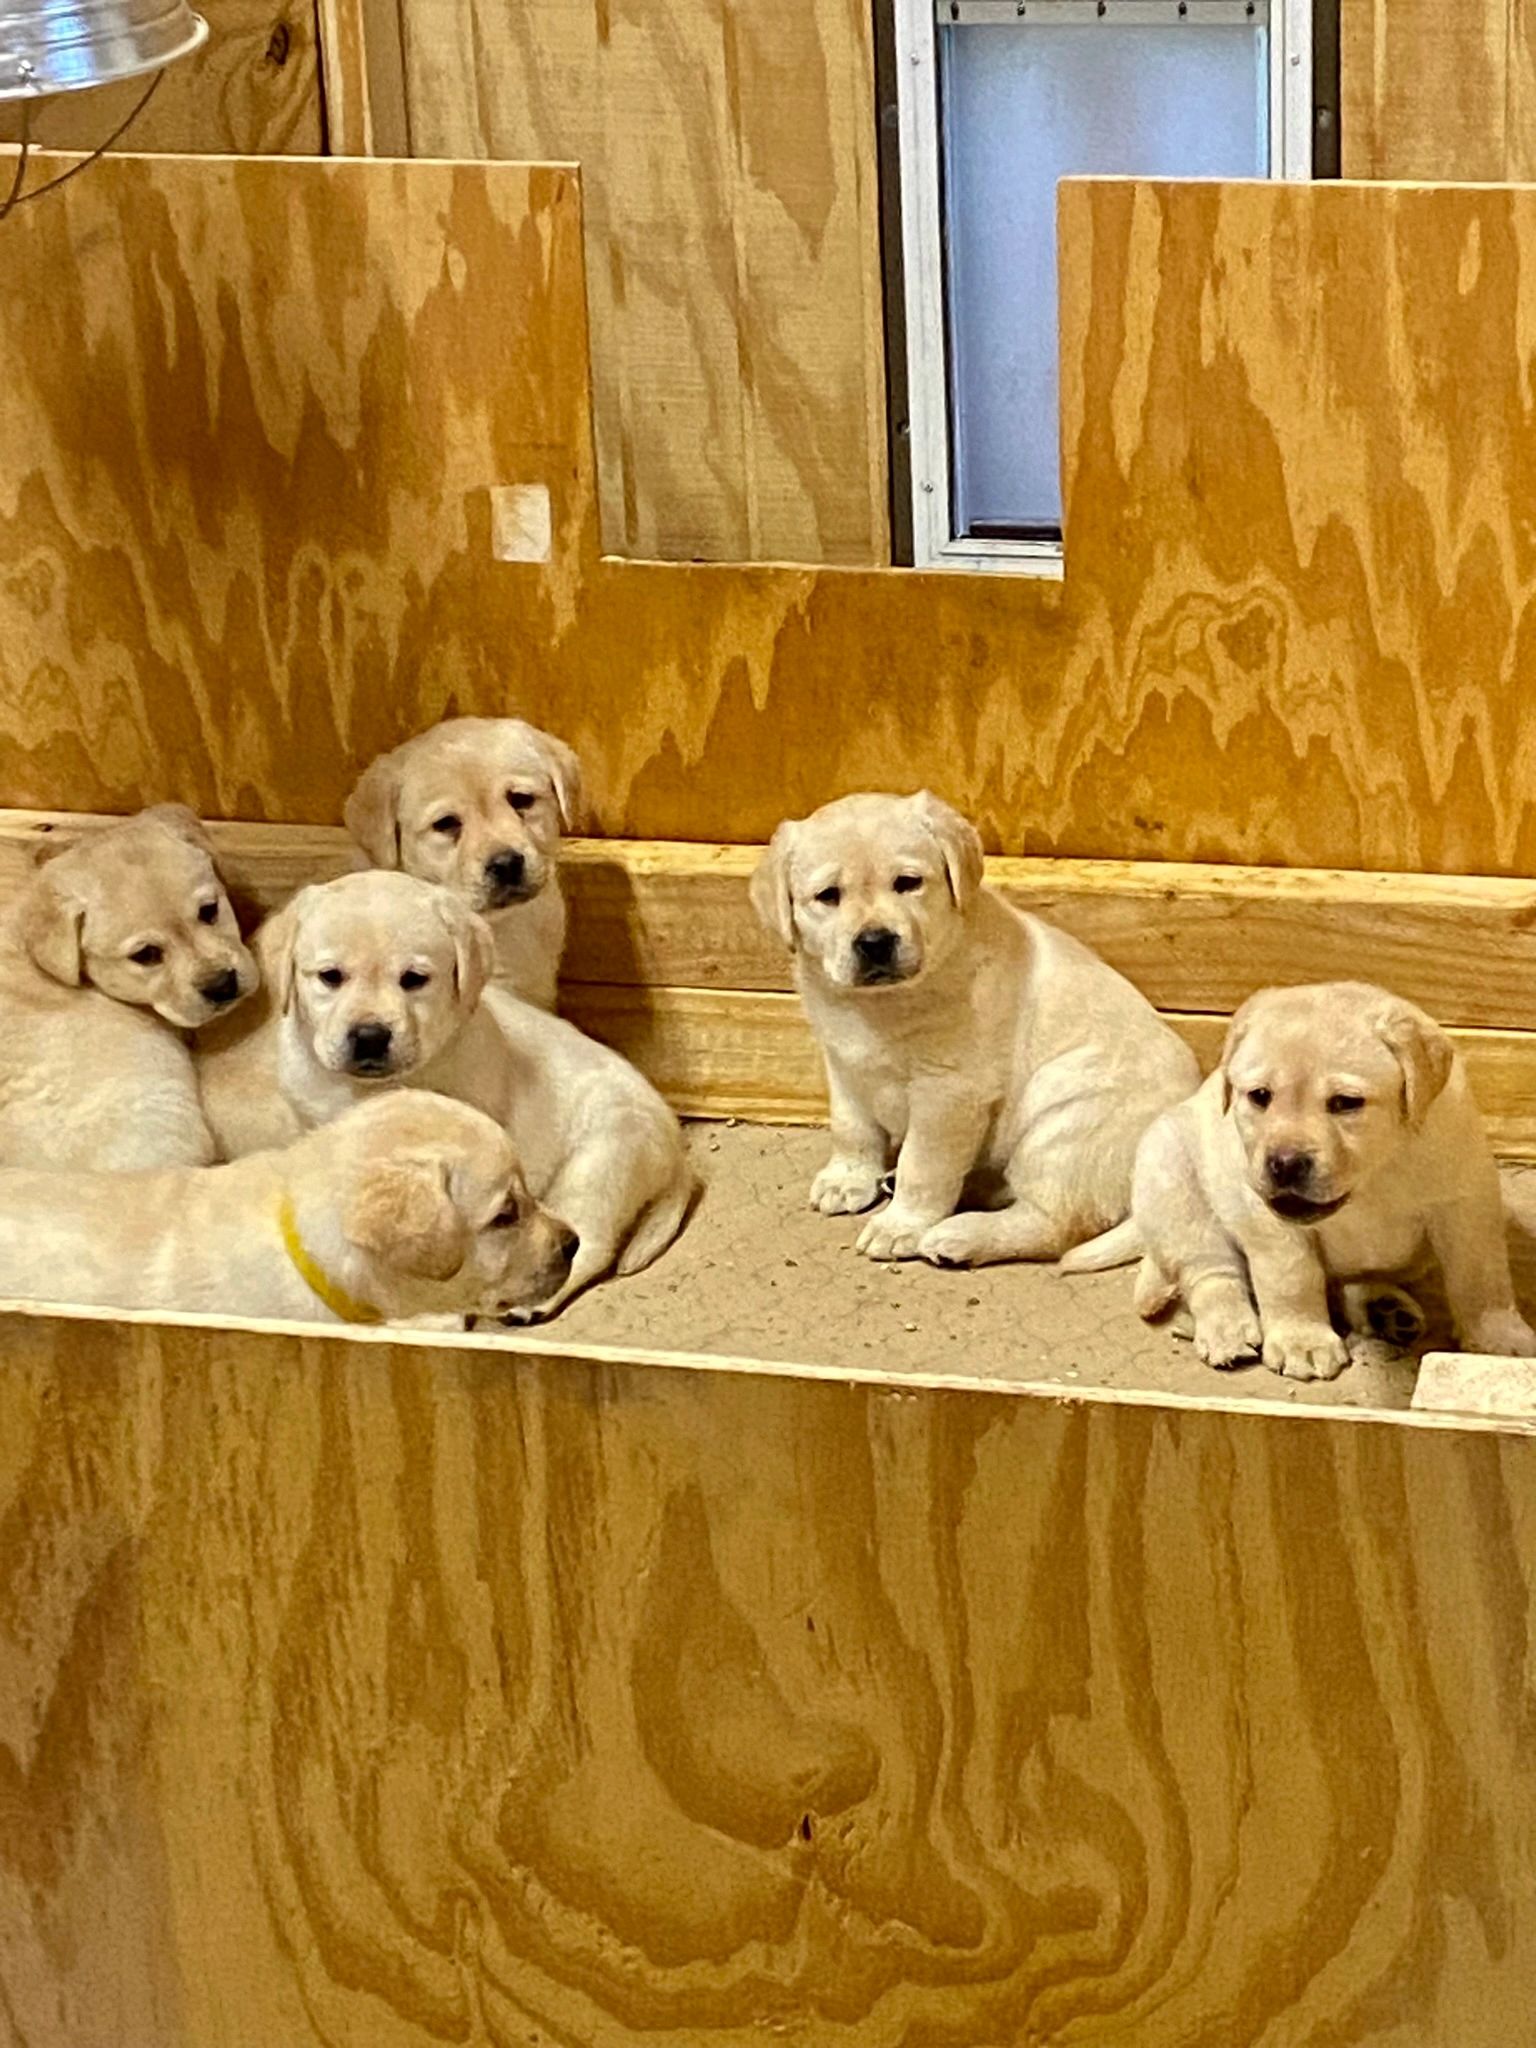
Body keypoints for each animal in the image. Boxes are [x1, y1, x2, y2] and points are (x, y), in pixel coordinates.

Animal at [197, 870, 691, 1316]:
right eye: (330, 977)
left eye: (414, 979)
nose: (369, 1036)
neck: (365, 1087)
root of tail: (677, 1153)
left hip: (601, 1160)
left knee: (591, 1240)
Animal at [751, 790, 1201, 1265]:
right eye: (828, 896)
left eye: (908, 883)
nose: (875, 942)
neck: (882, 1005)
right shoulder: (844, 1064)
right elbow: (851, 1126)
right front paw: (848, 1178)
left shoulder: (948, 1092)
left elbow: (923, 1165)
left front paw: (900, 1224)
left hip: (1063, 1120)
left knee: (1055, 1225)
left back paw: (960, 1235)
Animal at [1097, 982, 1536, 1378]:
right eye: (1260, 1096)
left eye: (1346, 1103)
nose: (1285, 1163)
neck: (1373, 1176)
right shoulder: (1268, 1220)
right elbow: (1292, 1278)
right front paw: (1301, 1341)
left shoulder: (1465, 1201)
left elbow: (1480, 1278)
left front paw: (1499, 1336)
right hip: (1169, 1173)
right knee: (1211, 1274)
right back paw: (1227, 1331)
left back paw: (1382, 1309)